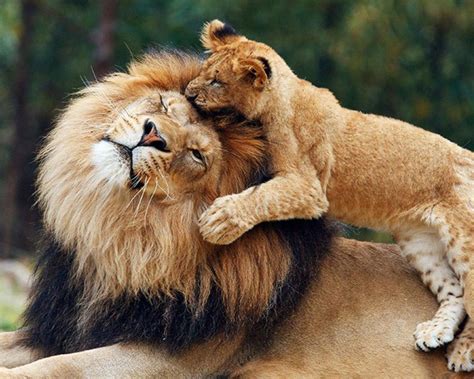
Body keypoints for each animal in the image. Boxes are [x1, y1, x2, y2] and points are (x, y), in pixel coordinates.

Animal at [0, 52, 466, 378]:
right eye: (167, 107)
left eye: (197, 155)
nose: (151, 135)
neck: (129, 242)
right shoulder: (65, 328)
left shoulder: (174, 358)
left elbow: (57, 366)